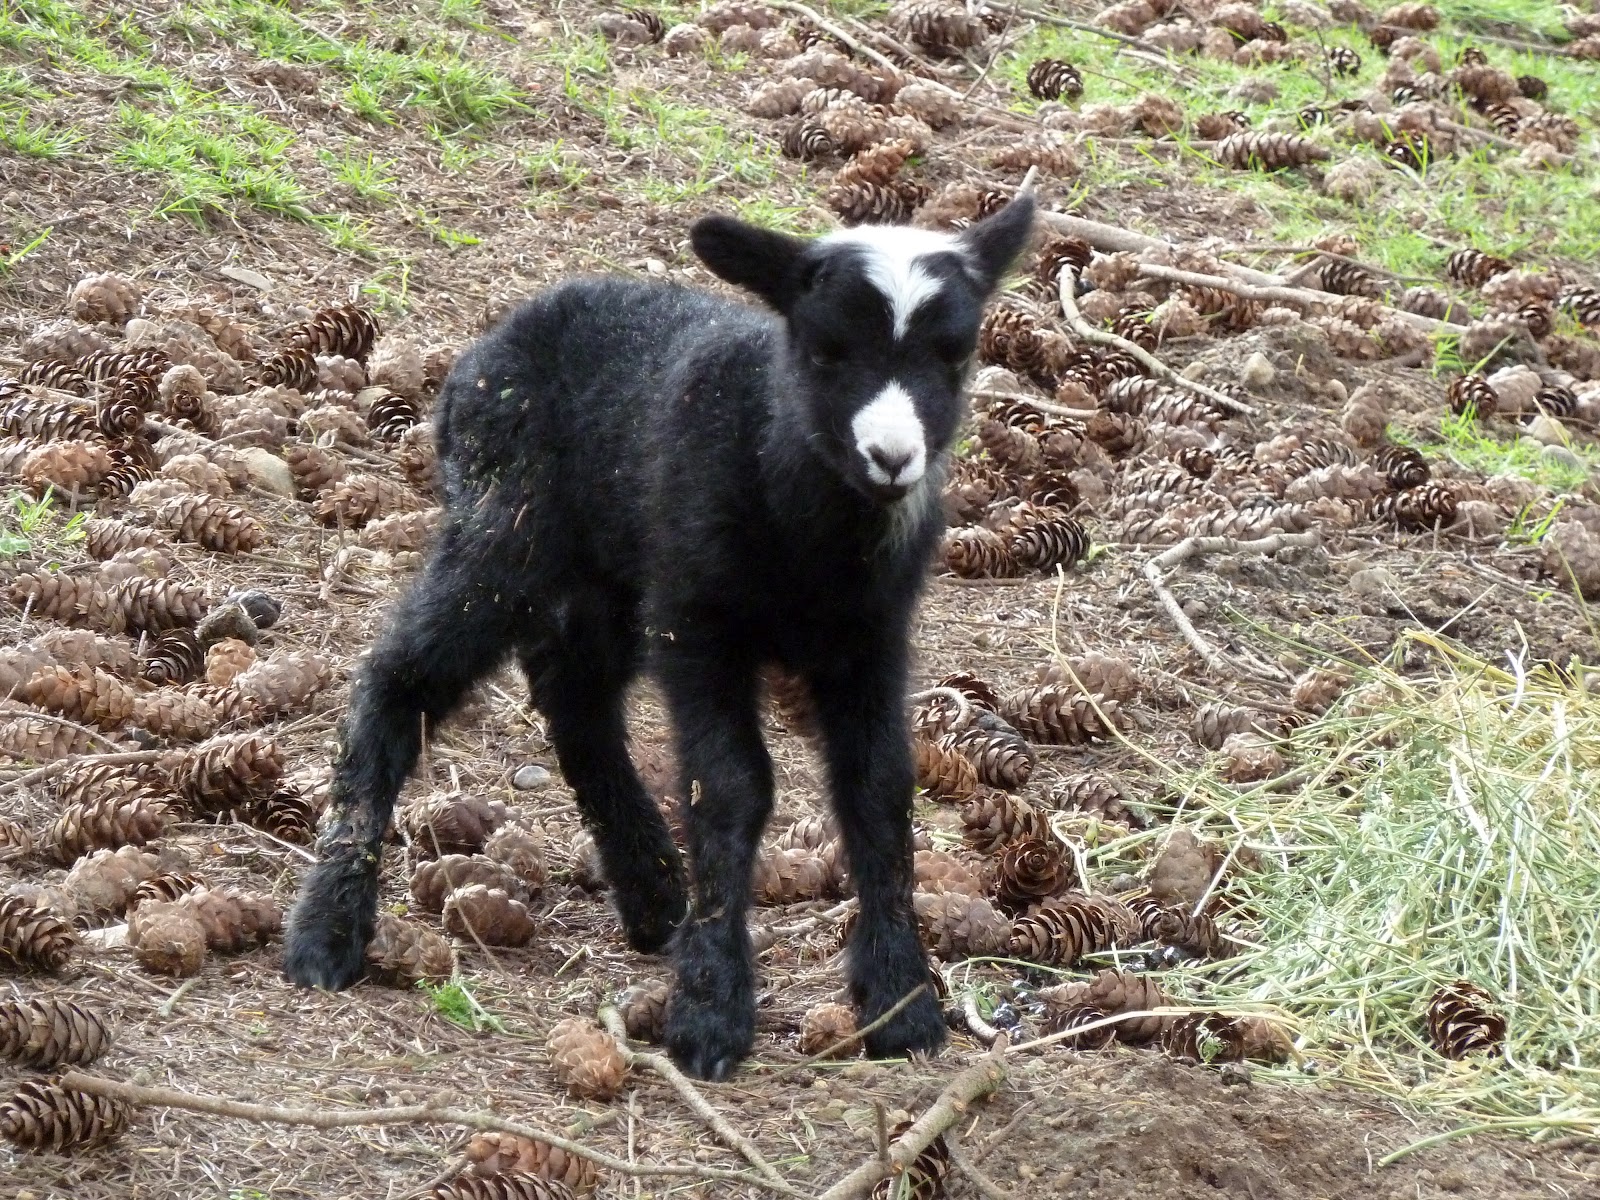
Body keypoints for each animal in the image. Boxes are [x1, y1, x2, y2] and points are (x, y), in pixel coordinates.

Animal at [282, 195, 1037, 1080]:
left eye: (956, 356)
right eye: (824, 349)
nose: (892, 459)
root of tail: (497, 337)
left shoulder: (873, 639)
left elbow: (878, 789)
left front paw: (901, 1002)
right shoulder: (696, 622)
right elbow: (730, 787)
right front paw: (711, 1013)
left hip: (608, 570)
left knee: (571, 692)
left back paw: (651, 891)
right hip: (508, 528)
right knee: (400, 674)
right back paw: (327, 928)